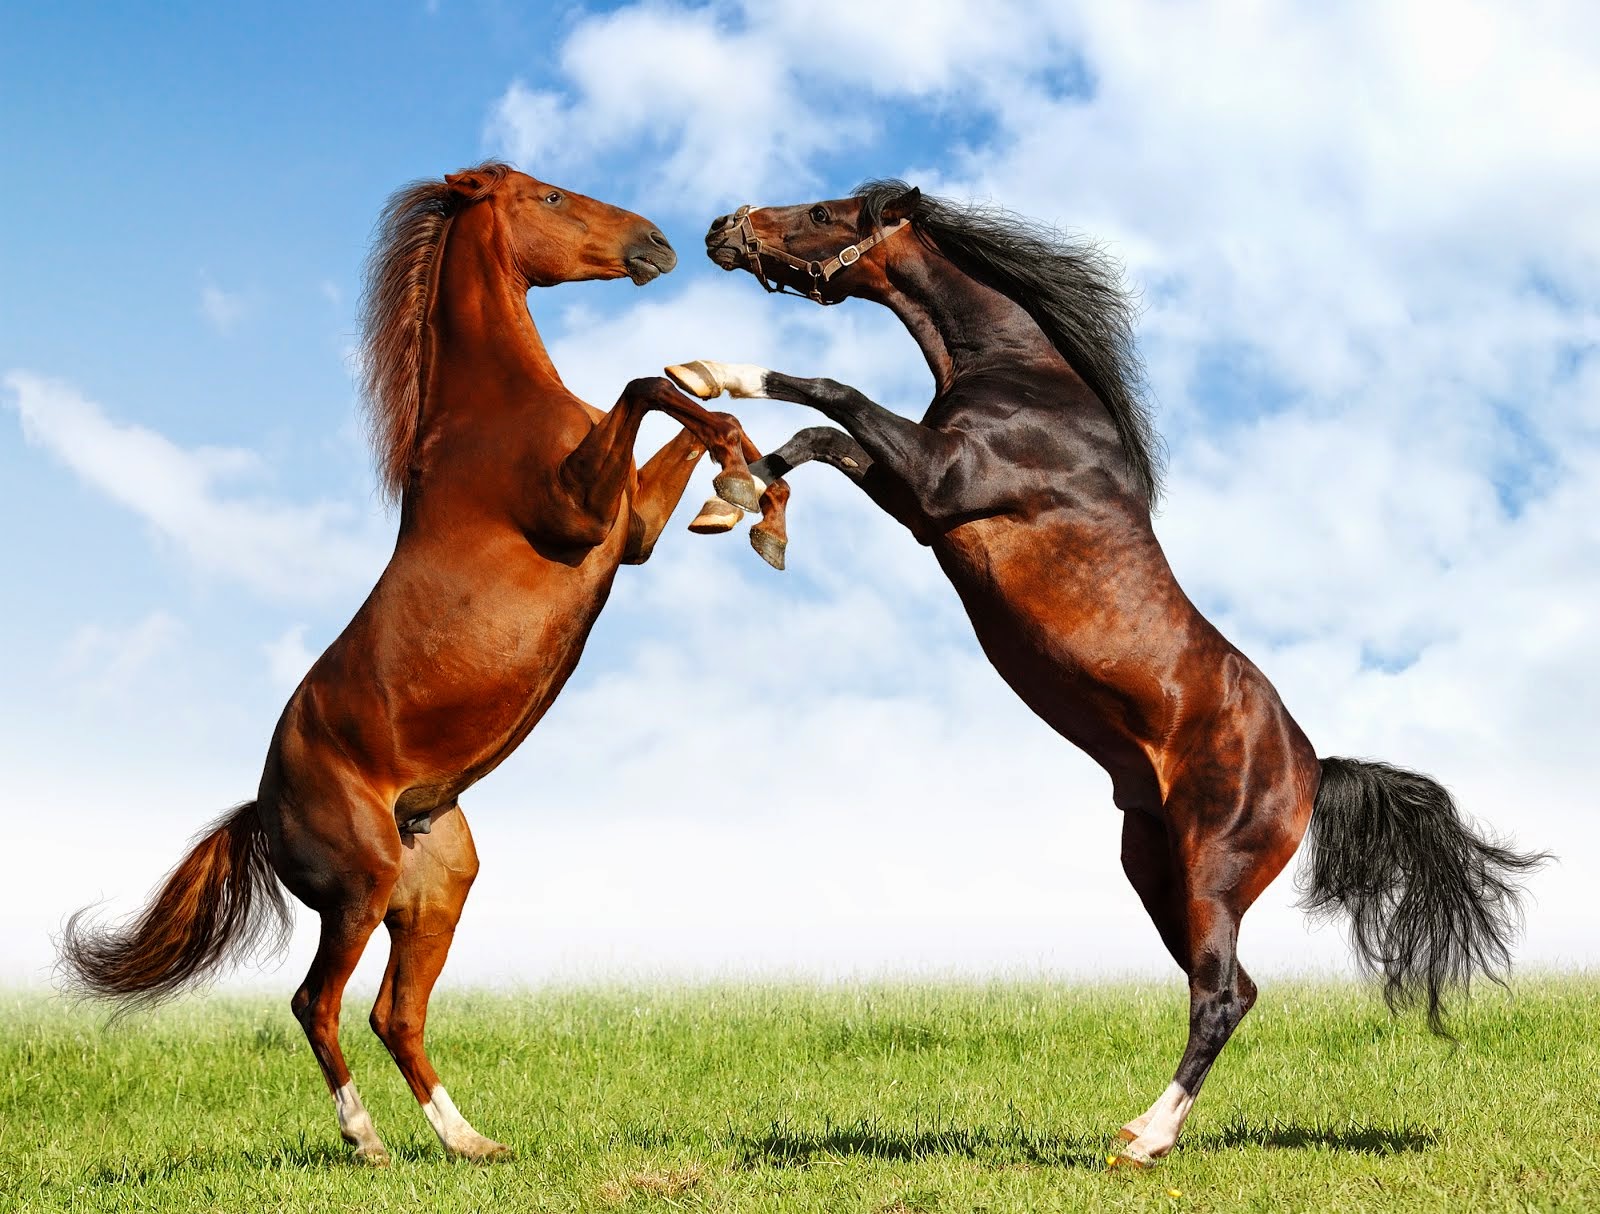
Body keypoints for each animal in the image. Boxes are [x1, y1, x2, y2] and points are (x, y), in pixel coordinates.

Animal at [59, 162, 786, 1165]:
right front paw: (739, 478)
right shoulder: (583, 513)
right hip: (357, 892)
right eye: (549, 198)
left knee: (394, 1014)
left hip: (436, 893)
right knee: (316, 1004)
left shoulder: (630, 529)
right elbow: (645, 388)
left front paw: (742, 472)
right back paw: (365, 1139)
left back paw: (469, 1141)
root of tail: (263, 805)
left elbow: (679, 412)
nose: (659, 243)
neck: (490, 412)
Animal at [666, 182, 1550, 1164]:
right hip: (1154, 869)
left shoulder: (940, 483)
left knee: (1219, 996)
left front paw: (710, 375)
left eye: (826, 212)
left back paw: (1146, 1138)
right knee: (1234, 988)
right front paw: (737, 502)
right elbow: (817, 437)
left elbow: (829, 394)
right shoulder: (917, 502)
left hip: (1211, 870)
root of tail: (1314, 769)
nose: (722, 229)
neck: (1028, 386)